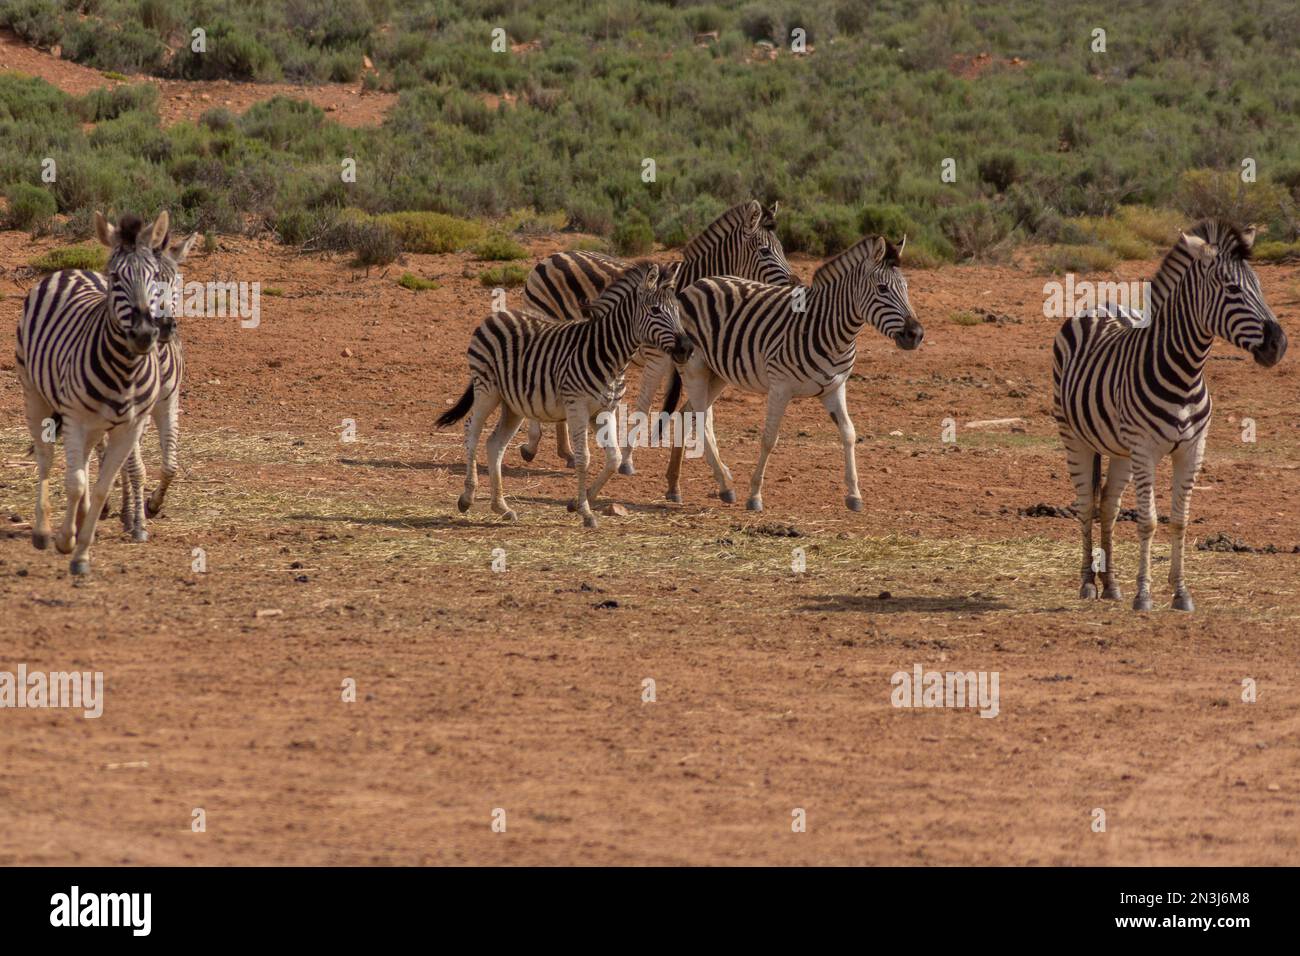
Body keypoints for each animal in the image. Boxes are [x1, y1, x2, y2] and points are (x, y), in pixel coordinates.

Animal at [16, 211, 172, 575]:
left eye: (155, 276)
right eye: (116, 277)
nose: (145, 334)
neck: (124, 372)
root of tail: (71, 270)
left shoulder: (131, 427)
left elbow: (100, 487)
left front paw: (82, 552)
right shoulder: (74, 417)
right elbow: (74, 481)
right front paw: (64, 541)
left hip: (92, 423)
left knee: (85, 460)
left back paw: (81, 520)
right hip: (36, 395)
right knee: (47, 457)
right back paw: (44, 531)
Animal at [437, 261, 691, 528]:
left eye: (677, 310)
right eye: (655, 310)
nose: (686, 348)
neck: (609, 355)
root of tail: (498, 314)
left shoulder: (605, 410)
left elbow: (613, 459)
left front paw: (576, 503)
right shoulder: (576, 406)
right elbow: (583, 458)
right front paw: (586, 512)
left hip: (513, 404)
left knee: (495, 444)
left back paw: (502, 507)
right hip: (487, 389)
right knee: (472, 431)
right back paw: (467, 497)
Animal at [519, 200, 790, 474]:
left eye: (782, 249)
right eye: (765, 251)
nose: (793, 283)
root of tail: (551, 256)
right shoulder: (658, 358)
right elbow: (645, 403)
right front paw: (627, 460)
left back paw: (566, 452)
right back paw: (533, 446)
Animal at [662, 234, 923, 510]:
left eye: (906, 288)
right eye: (882, 289)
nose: (916, 334)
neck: (832, 332)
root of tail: (700, 282)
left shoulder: (835, 387)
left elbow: (849, 434)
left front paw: (854, 494)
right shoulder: (780, 387)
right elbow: (769, 438)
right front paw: (755, 495)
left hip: (718, 373)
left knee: (687, 414)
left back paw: (677, 485)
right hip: (695, 367)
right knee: (698, 417)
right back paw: (720, 484)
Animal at [1053, 220, 1288, 612]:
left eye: (1259, 285)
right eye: (1233, 288)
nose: (1279, 345)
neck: (1186, 373)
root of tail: (1100, 304)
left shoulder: (1192, 449)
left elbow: (1179, 520)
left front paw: (1181, 593)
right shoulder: (1145, 450)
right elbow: (1148, 522)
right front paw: (1144, 595)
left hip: (1121, 451)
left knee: (1109, 505)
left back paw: (1110, 585)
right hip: (1074, 436)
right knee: (1086, 505)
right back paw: (1088, 583)